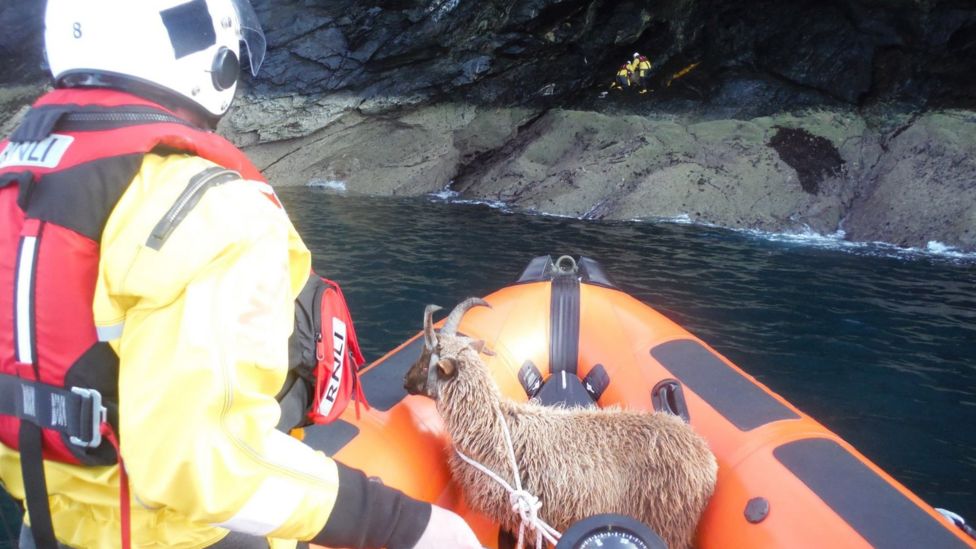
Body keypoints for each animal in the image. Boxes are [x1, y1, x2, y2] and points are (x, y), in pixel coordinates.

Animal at [403, 298, 718, 549]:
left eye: (427, 360)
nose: (404, 381)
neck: (493, 429)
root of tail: (706, 458)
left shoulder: (524, 518)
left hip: (668, 522)